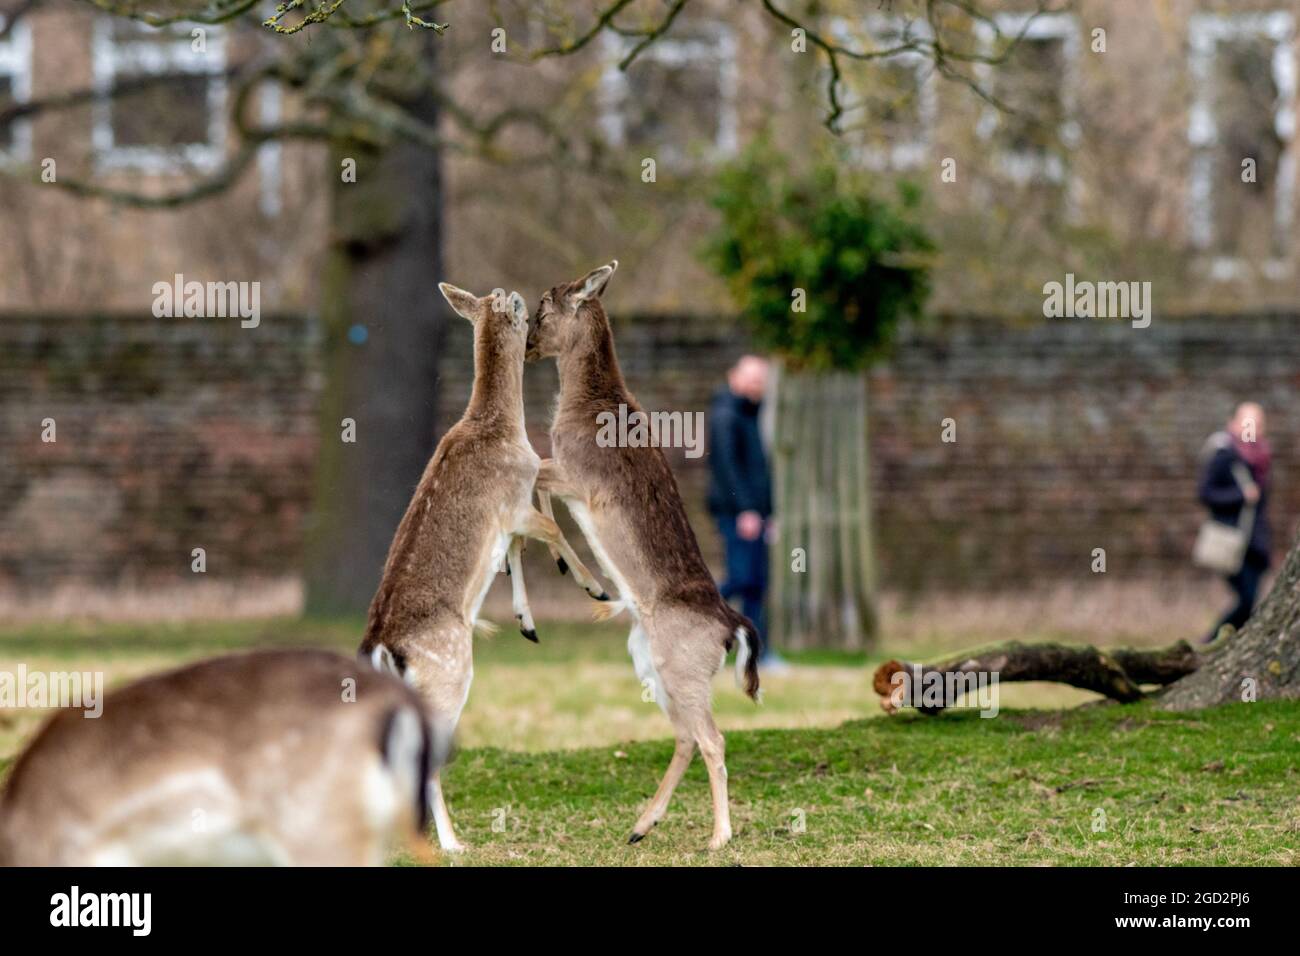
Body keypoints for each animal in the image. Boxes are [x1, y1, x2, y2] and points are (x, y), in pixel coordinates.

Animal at [358, 283, 608, 853]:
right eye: (520, 310)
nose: (519, 296)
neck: (501, 429)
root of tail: (383, 647)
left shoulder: (509, 520)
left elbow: (515, 552)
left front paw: (527, 621)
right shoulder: (515, 501)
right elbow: (551, 528)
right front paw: (594, 587)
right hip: (450, 674)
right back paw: (452, 842)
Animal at [526, 261, 761, 851]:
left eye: (543, 305)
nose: (527, 347)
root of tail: (730, 625)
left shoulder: (578, 478)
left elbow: (537, 475)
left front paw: (582, 578)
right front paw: (585, 581)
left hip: (684, 670)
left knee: (713, 739)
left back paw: (718, 837)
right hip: (652, 665)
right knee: (685, 737)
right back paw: (639, 826)